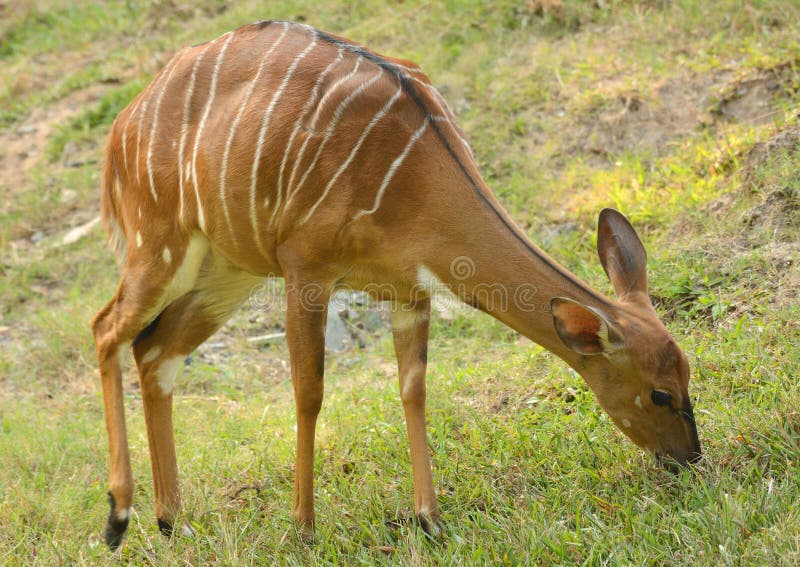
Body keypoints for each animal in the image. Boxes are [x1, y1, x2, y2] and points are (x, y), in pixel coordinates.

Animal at [92, 20, 701, 549]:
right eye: (660, 393)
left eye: (688, 375)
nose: (690, 461)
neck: (418, 176)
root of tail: (121, 130)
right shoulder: (306, 270)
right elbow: (309, 392)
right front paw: (304, 527)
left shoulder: (411, 291)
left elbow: (414, 389)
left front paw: (430, 519)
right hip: (157, 248)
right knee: (106, 328)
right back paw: (118, 518)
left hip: (227, 271)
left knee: (155, 351)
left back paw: (172, 521)